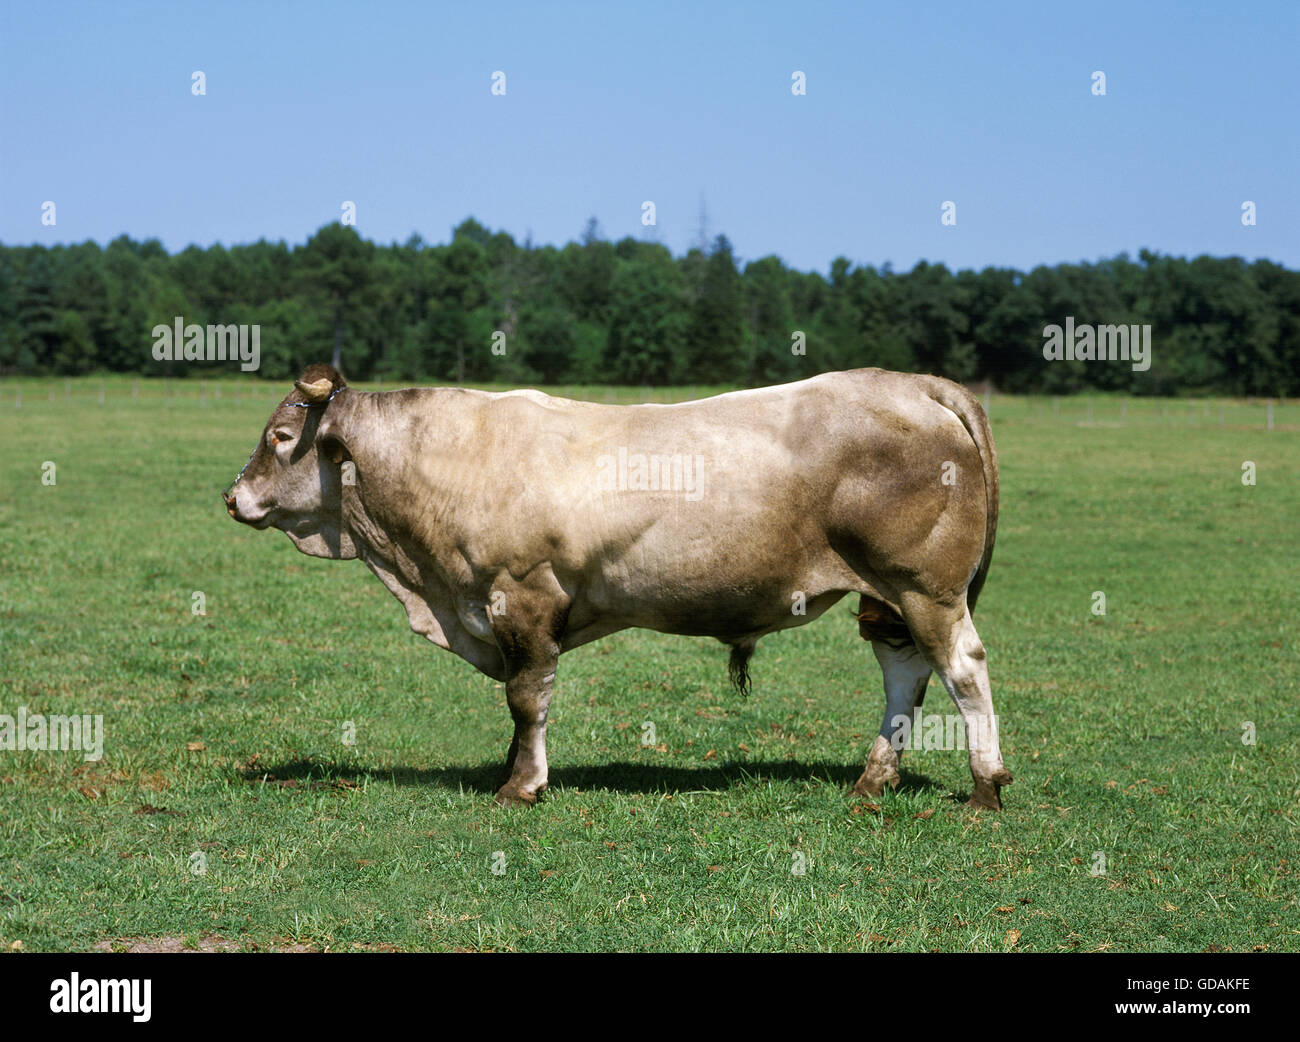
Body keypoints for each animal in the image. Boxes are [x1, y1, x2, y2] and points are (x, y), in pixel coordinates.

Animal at [223, 364, 1012, 810]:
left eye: (280, 438)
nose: (233, 497)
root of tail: (909, 383)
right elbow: (522, 706)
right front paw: (511, 768)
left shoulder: (522, 596)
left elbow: (527, 697)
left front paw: (520, 786)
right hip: (886, 596)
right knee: (903, 674)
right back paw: (872, 782)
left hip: (926, 586)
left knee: (963, 670)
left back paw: (985, 786)